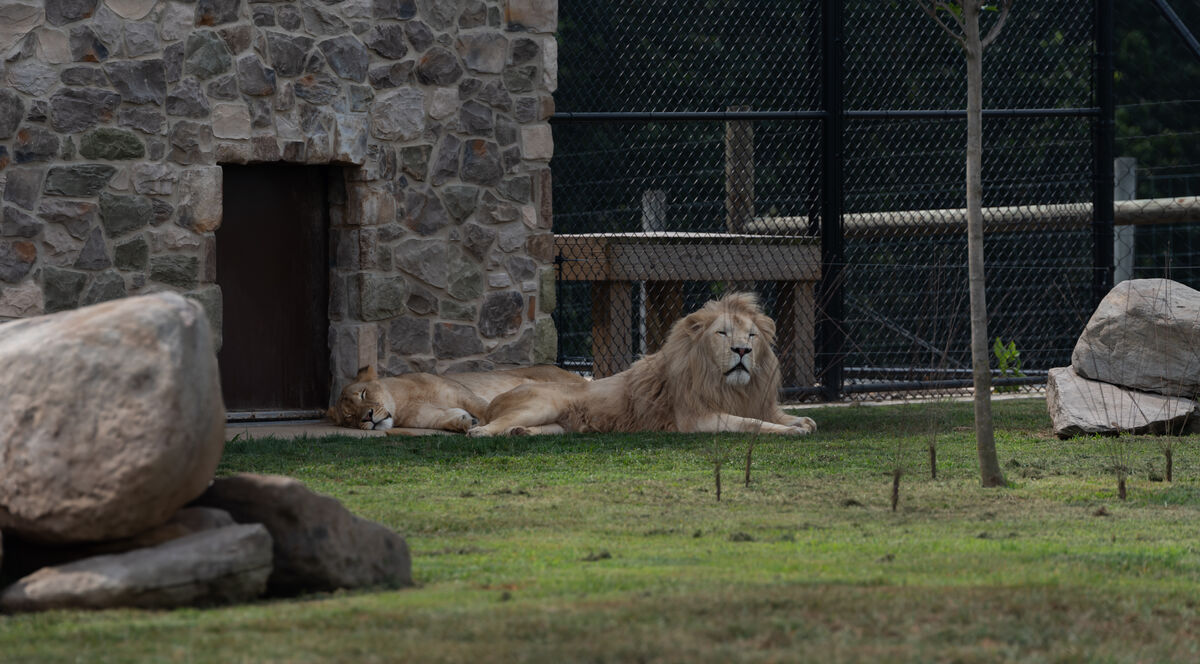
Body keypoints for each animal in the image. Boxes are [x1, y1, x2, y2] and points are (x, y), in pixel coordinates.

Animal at [328, 365, 586, 434]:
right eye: (350, 416)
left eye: (363, 394)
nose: (368, 417)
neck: (402, 402)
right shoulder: (430, 417)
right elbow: (449, 419)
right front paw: (466, 423)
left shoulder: (462, 394)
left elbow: (485, 409)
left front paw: (482, 426)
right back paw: (521, 431)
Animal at [467, 293, 816, 437]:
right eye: (722, 333)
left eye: (752, 335)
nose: (742, 349)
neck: (728, 385)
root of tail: (493, 401)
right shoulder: (696, 419)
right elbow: (752, 424)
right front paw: (791, 430)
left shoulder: (751, 402)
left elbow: (777, 417)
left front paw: (801, 422)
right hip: (542, 404)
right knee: (482, 429)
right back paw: (483, 431)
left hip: (559, 424)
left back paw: (518, 432)